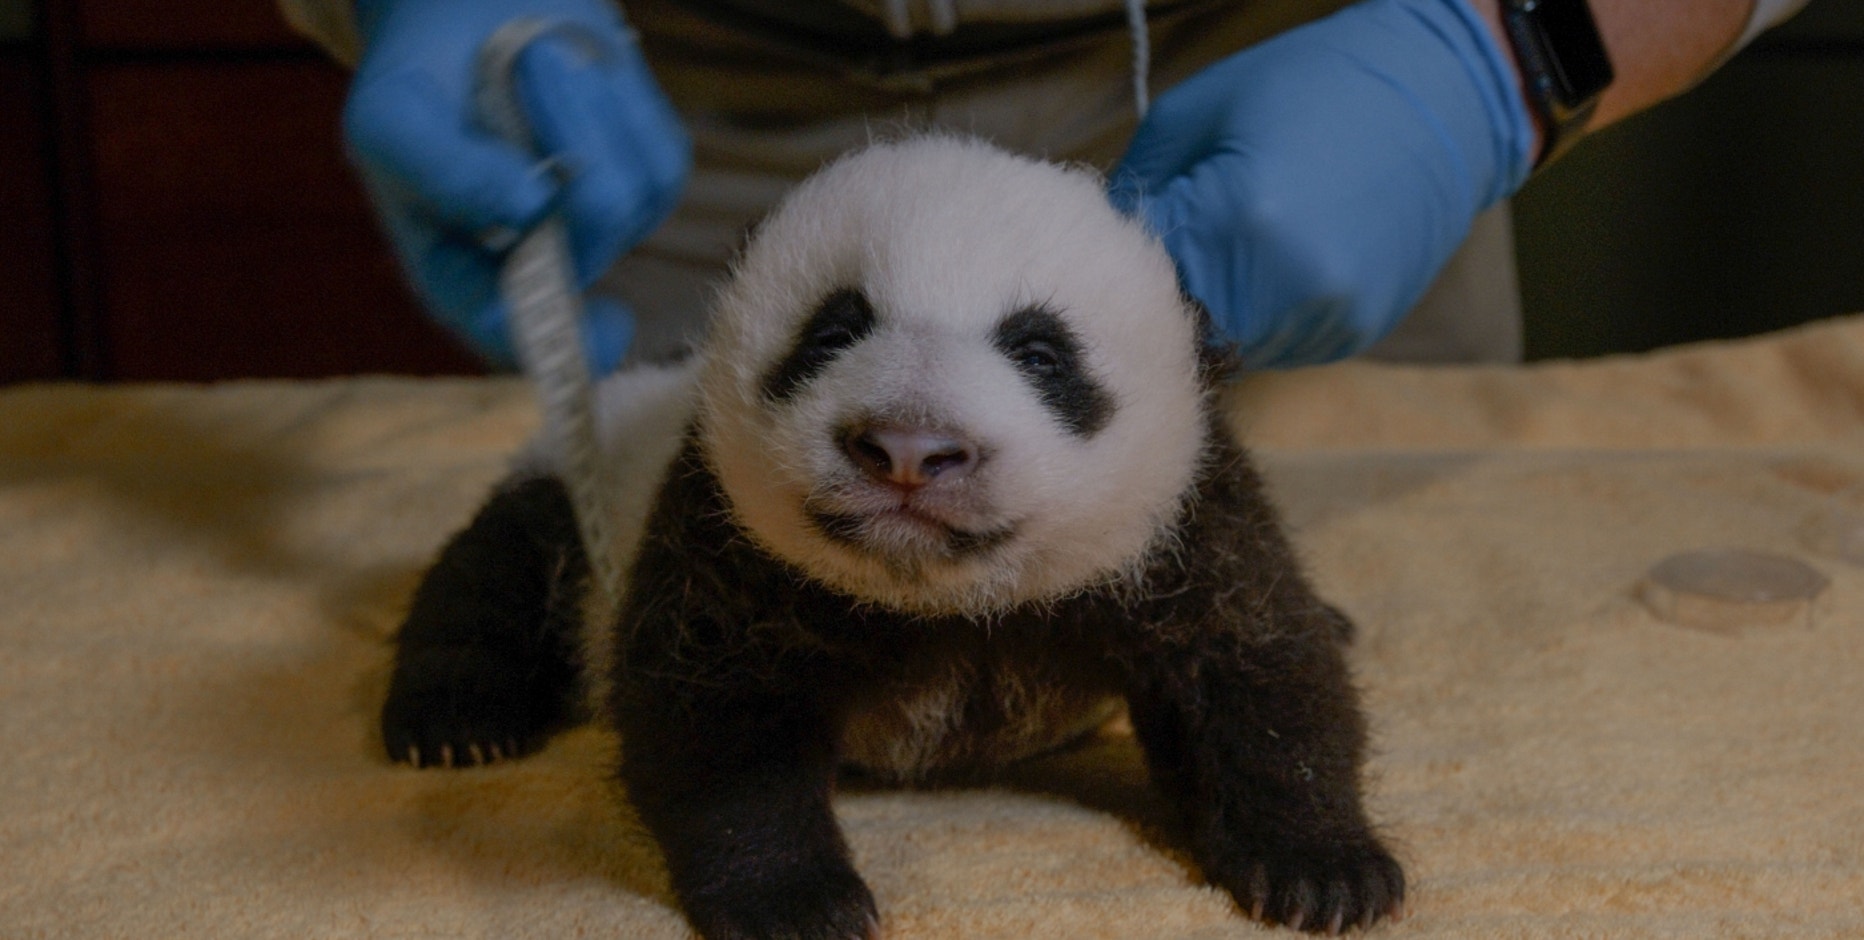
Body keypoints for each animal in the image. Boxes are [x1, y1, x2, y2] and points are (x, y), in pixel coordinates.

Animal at [380, 135, 1405, 938]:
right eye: (833, 332)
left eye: (1040, 352)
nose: (910, 449)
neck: (947, 598)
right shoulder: (720, 533)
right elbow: (714, 711)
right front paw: (795, 901)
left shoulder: (1181, 518)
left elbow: (1254, 665)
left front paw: (1325, 872)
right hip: (563, 484)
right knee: (489, 578)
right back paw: (454, 724)